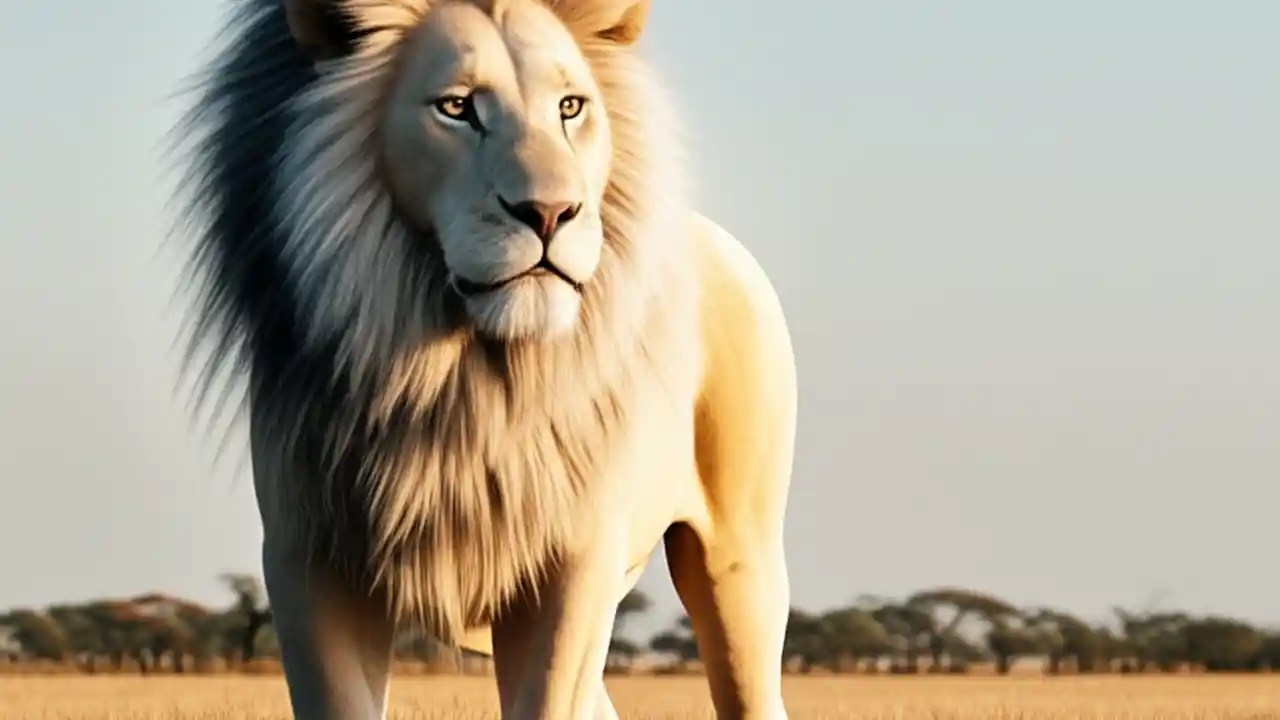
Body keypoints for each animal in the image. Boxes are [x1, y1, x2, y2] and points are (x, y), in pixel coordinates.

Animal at [172, 0, 796, 717]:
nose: (550, 213)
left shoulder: (575, 558)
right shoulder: (308, 560)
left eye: (571, 106)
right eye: (457, 107)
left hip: (739, 560)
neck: (460, 379)